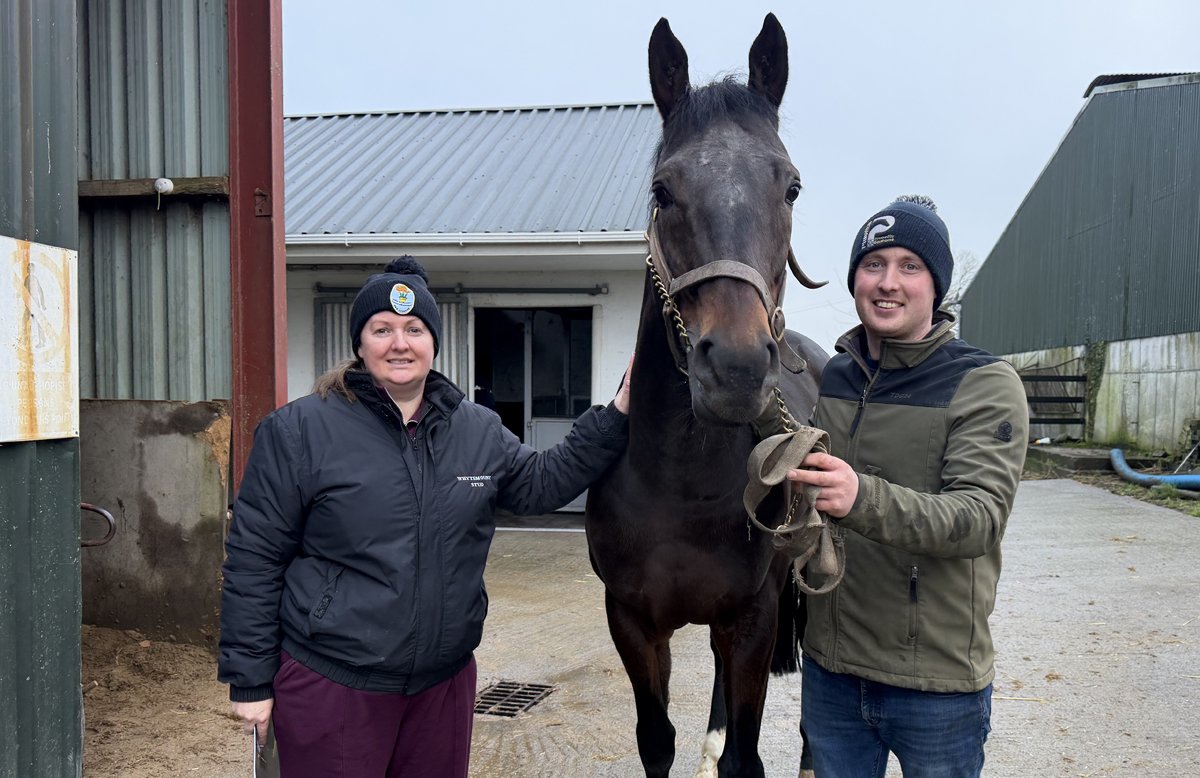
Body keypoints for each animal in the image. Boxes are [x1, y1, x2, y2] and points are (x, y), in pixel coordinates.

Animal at [585, 14, 830, 778]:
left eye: (791, 187)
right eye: (663, 190)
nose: (739, 370)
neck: (681, 484)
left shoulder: (752, 617)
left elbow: (747, 758)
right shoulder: (633, 622)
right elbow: (656, 739)